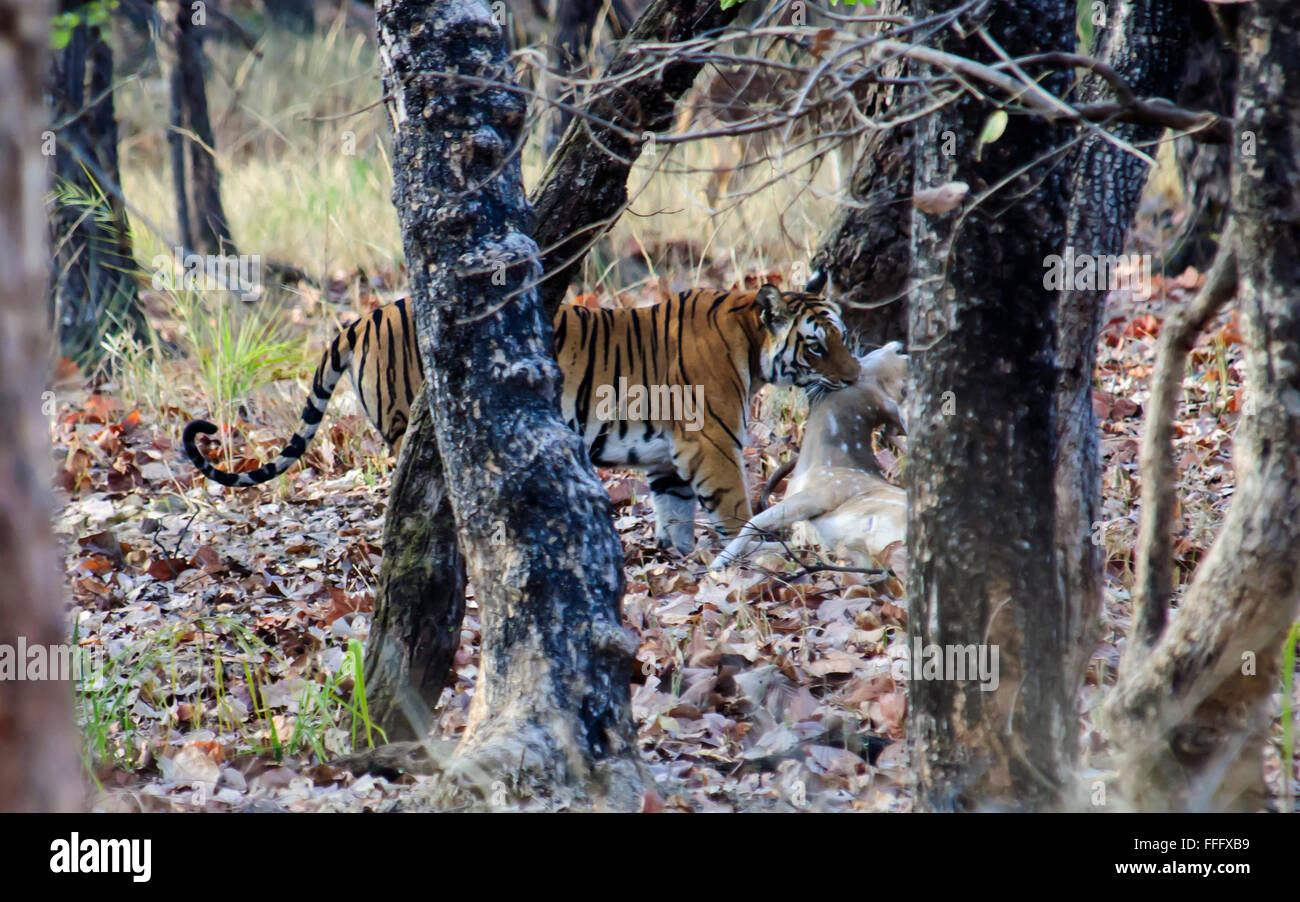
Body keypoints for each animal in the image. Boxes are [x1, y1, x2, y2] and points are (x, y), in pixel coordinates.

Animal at [184, 283, 859, 552]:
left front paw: (684, 570)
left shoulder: (669, 461)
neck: (750, 341)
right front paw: (760, 565)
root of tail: (366, 315)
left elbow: (677, 522)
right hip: (415, 430)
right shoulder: (711, 447)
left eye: (845, 338)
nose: (854, 378)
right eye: (816, 346)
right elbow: (743, 516)